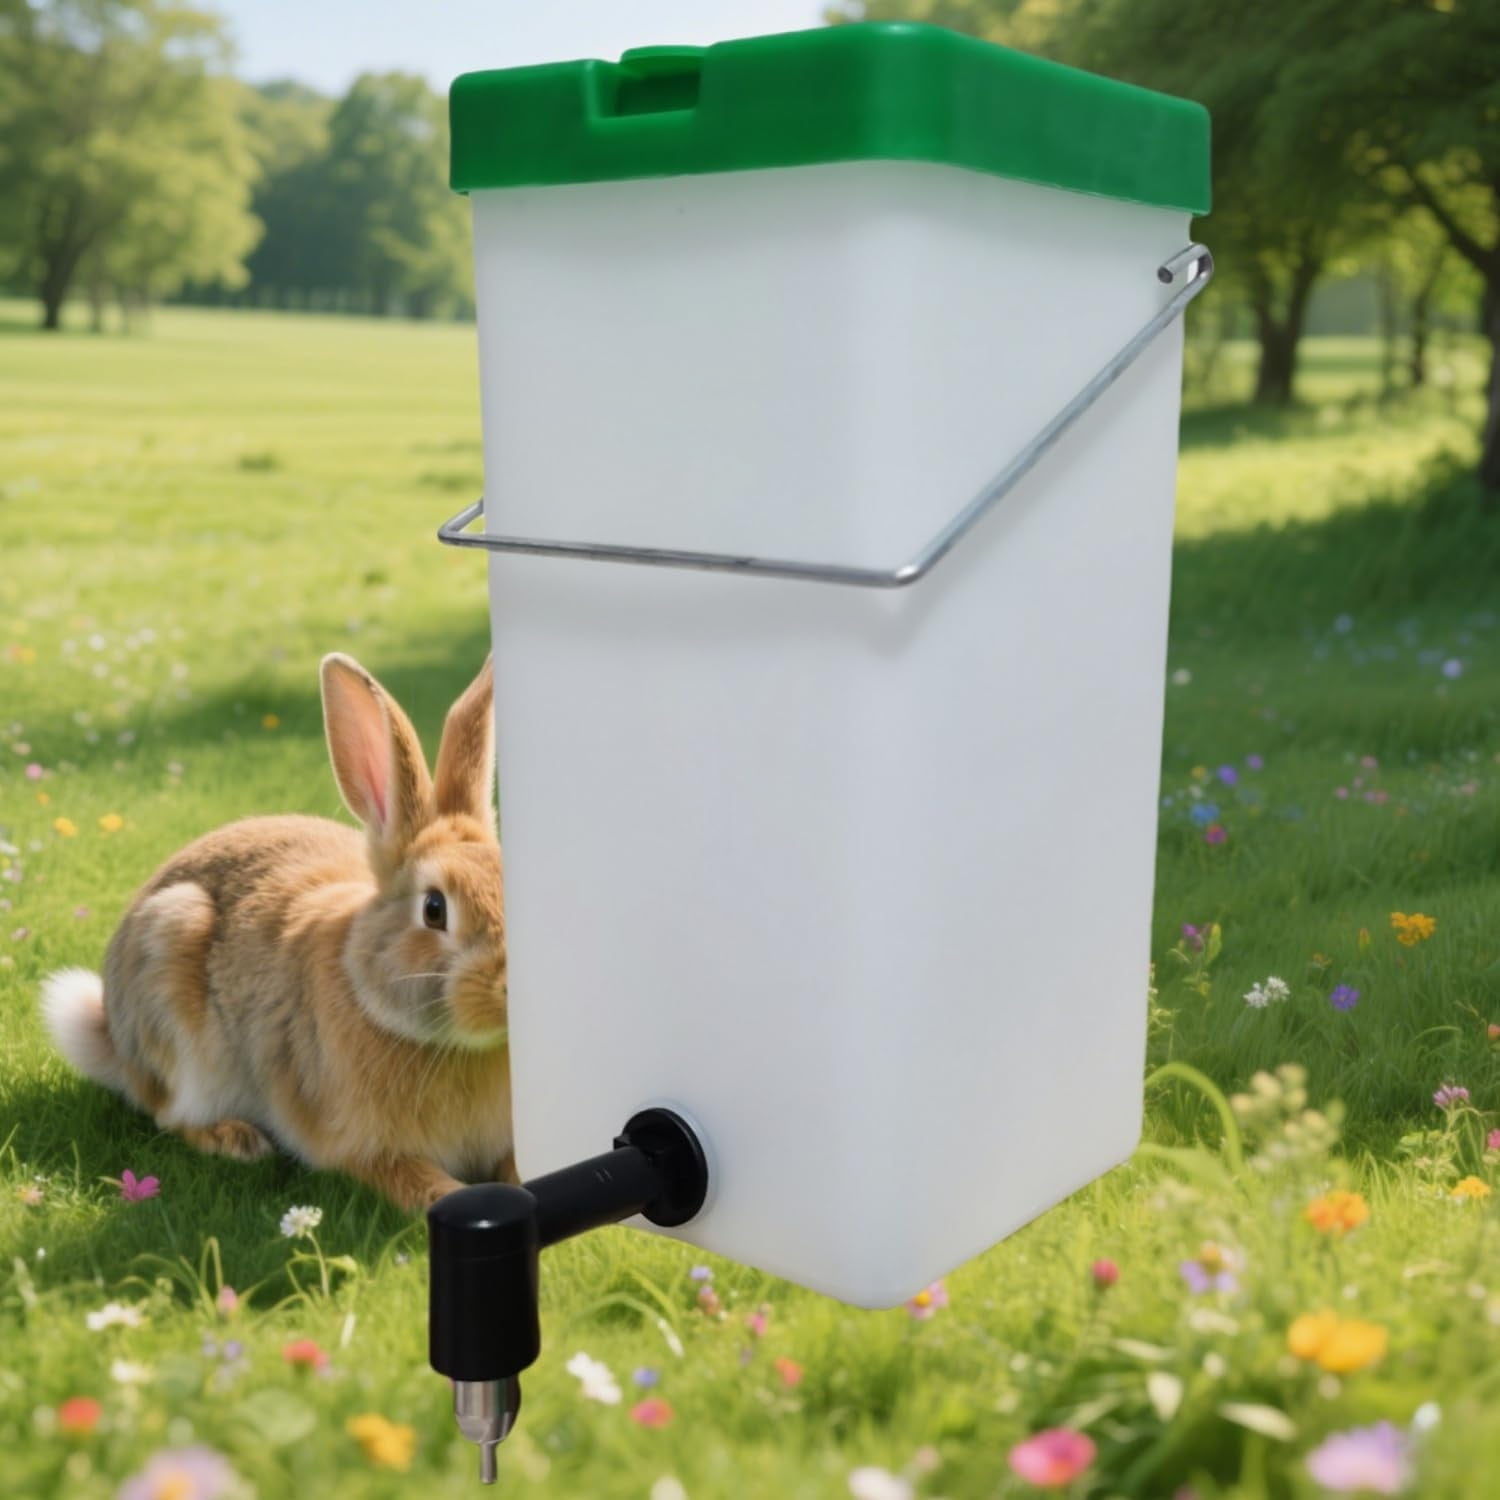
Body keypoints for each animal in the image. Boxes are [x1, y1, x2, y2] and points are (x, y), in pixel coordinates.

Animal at [41, 651, 515, 1211]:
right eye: (435, 908)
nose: (511, 989)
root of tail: (111, 1035)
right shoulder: (365, 1149)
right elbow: (421, 1185)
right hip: (171, 970)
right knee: (168, 1114)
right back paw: (235, 1139)